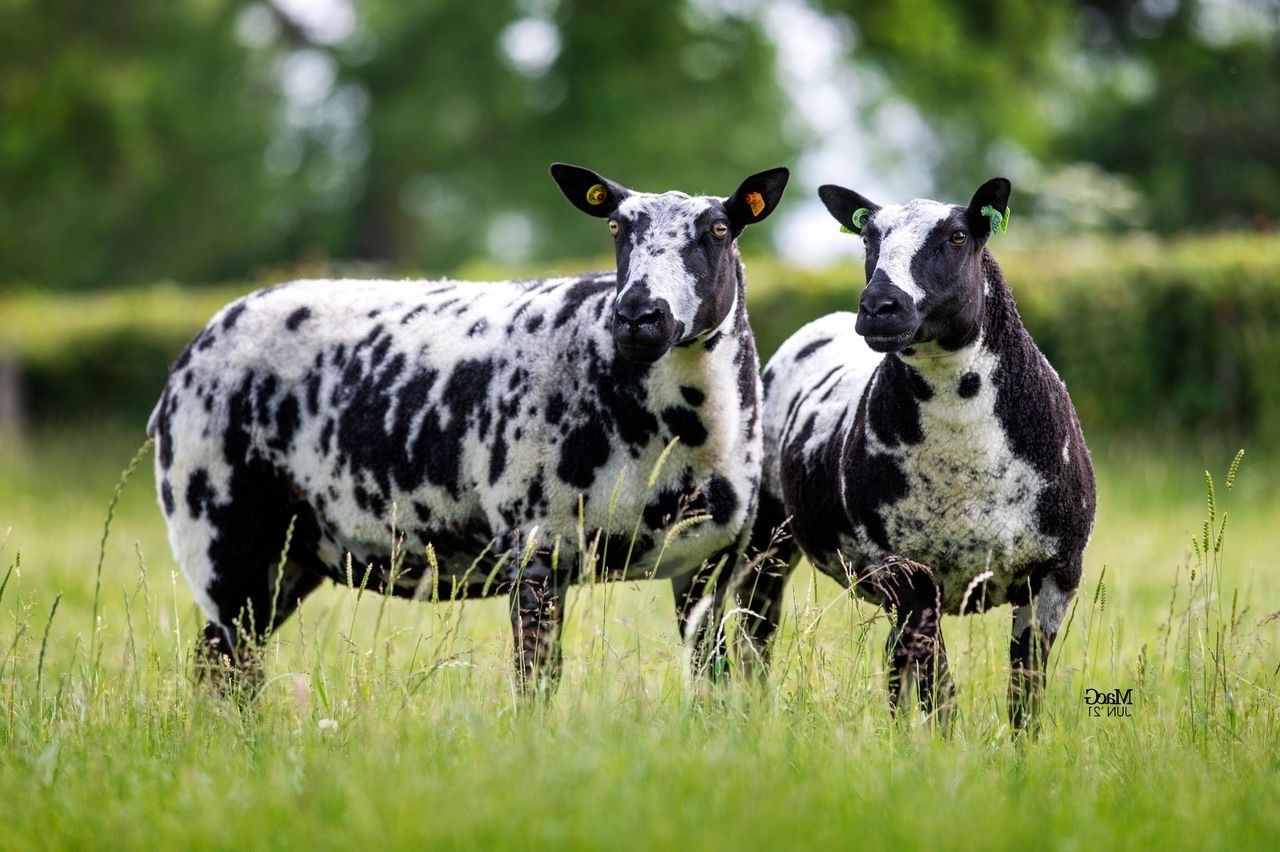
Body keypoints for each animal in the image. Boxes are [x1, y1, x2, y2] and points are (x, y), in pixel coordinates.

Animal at [148, 162, 790, 694]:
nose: (638, 317)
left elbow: (713, 677)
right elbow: (536, 683)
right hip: (223, 537)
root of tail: (194, 348)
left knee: (224, 661)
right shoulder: (537, 549)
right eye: (615, 228)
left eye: (718, 230)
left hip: (292, 556)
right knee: (228, 664)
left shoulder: (710, 563)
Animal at [743, 178, 1096, 729]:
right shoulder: (909, 572)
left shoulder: (1056, 575)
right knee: (753, 633)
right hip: (768, 538)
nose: (878, 306)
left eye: (956, 237)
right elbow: (940, 694)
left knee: (892, 658)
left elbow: (1024, 699)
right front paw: (942, 746)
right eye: (868, 237)